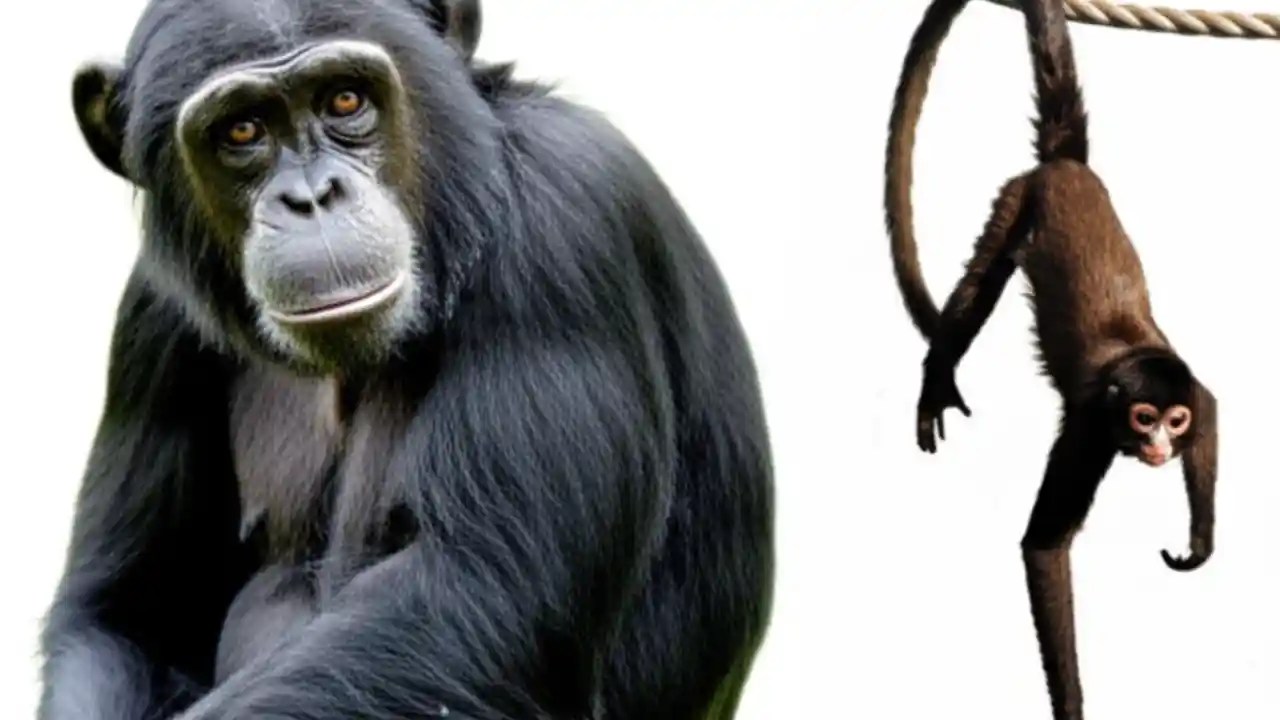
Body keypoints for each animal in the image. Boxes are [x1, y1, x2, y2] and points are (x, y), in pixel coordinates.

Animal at [882, 0, 1219, 718]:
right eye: (1143, 418)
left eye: (1174, 421)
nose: (1159, 446)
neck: (1133, 358)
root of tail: (1066, 165)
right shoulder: (1091, 428)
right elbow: (1043, 548)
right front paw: (1072, 707)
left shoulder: (1191, 384)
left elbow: (1213, 411)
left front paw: (1200, 540)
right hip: (1017, 197)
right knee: (978, 289)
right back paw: (936, 379)